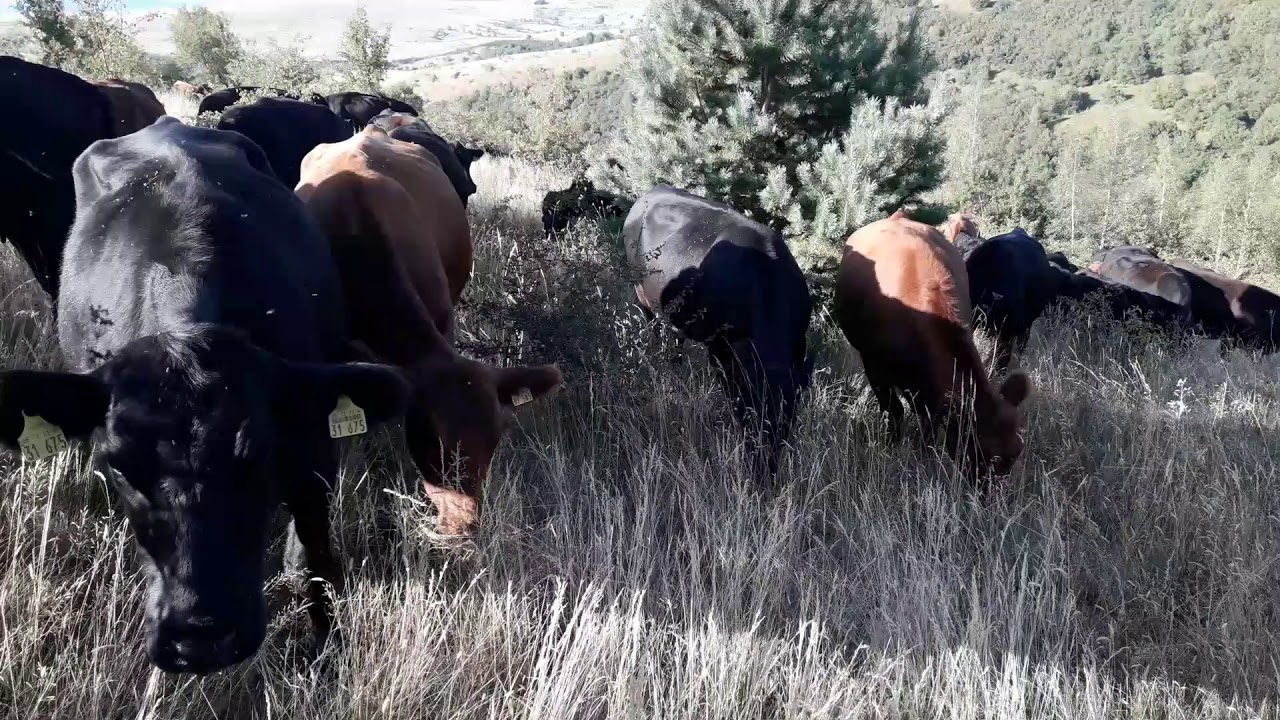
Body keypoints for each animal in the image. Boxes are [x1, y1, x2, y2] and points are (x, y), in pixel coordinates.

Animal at [0, 117, 410, 674]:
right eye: (118, 467)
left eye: (262, 458)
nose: (201, 639)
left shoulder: (313, 454)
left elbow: (317, 560)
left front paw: (330, 651)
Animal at [622, 184, 814, 474]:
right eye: (750, 415)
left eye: (787, 420)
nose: (764, 469)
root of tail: (653, 191)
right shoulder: (719, 345)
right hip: (642, 294)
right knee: (654, 331)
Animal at [834, 211, 1031, 476]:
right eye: (981, 453)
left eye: (1016, 452)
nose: (986, 490)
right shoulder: (874, 366)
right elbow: (894, 410)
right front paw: (890, 448)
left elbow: (929, 418)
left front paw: (924, 453)